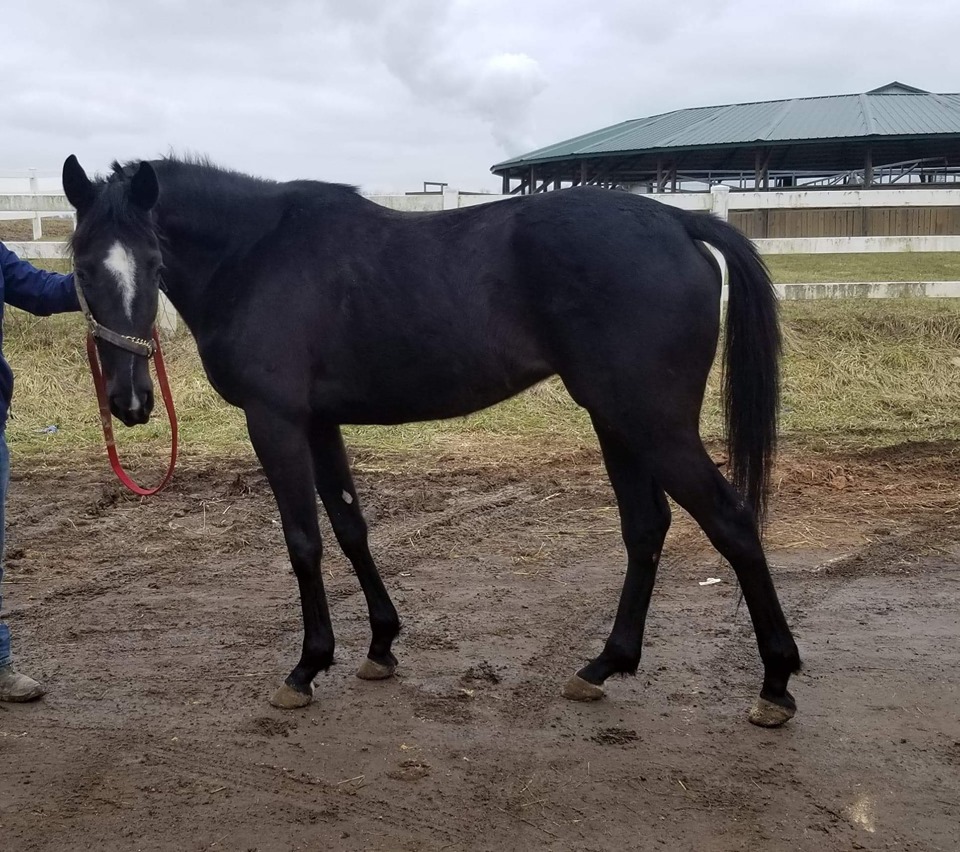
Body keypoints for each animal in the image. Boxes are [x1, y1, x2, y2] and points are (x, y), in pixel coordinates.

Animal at [61, 154, 801, 727]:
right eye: (83, 266)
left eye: (152, 260)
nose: (130, 401)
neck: (258, 255)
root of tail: (678, 220)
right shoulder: (319, 422)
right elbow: (350, 527)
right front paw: (380, 646)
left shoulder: (275, 421)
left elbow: (303, 542)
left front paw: (307, 666)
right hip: (616, 418)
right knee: (646, 527)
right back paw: (604, 665)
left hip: (652, 422)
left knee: (731, 522)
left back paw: (775, 684)